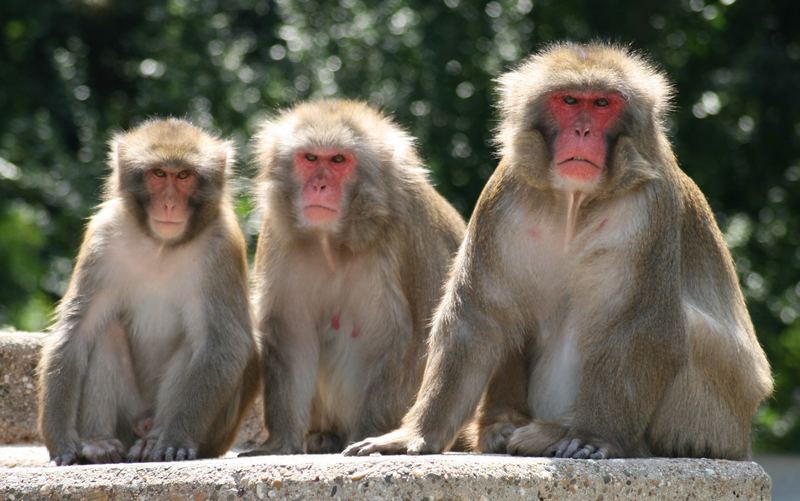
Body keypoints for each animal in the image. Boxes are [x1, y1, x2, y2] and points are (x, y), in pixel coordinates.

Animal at [38, 118, 260, 465]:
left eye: (183, 176)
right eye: (158, 174)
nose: (169, 204)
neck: (161, 246)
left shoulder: (223, 248)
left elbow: (224, 343)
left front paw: (176, 439)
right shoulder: (102, 236)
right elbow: (75, 331)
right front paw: (60, 438)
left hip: (213, 432)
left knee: (194, 344)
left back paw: (156, 440)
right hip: (128, 417)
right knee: (106, 332)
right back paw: (99, 444)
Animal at [239, 99, 466, 455]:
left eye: (338, 160)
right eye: (310, 158)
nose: (319, 186)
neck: (334, 241)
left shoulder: (405, 231)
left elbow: (408, 337)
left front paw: (370, 434)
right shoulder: (278, 235)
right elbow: (290, 334)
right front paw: (280, 442)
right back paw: (323, 435)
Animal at [344, 42, 773, 460]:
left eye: (602, 104)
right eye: (568, 101)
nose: (582, 130)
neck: (573, 201)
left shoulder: (651, 208)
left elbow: (639, 325)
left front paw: (595, 437)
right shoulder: (502, 193)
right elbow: (478, 317)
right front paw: (416, 434)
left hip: (717, 421)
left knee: (687, 328)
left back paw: (563, 432)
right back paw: (501, 426)